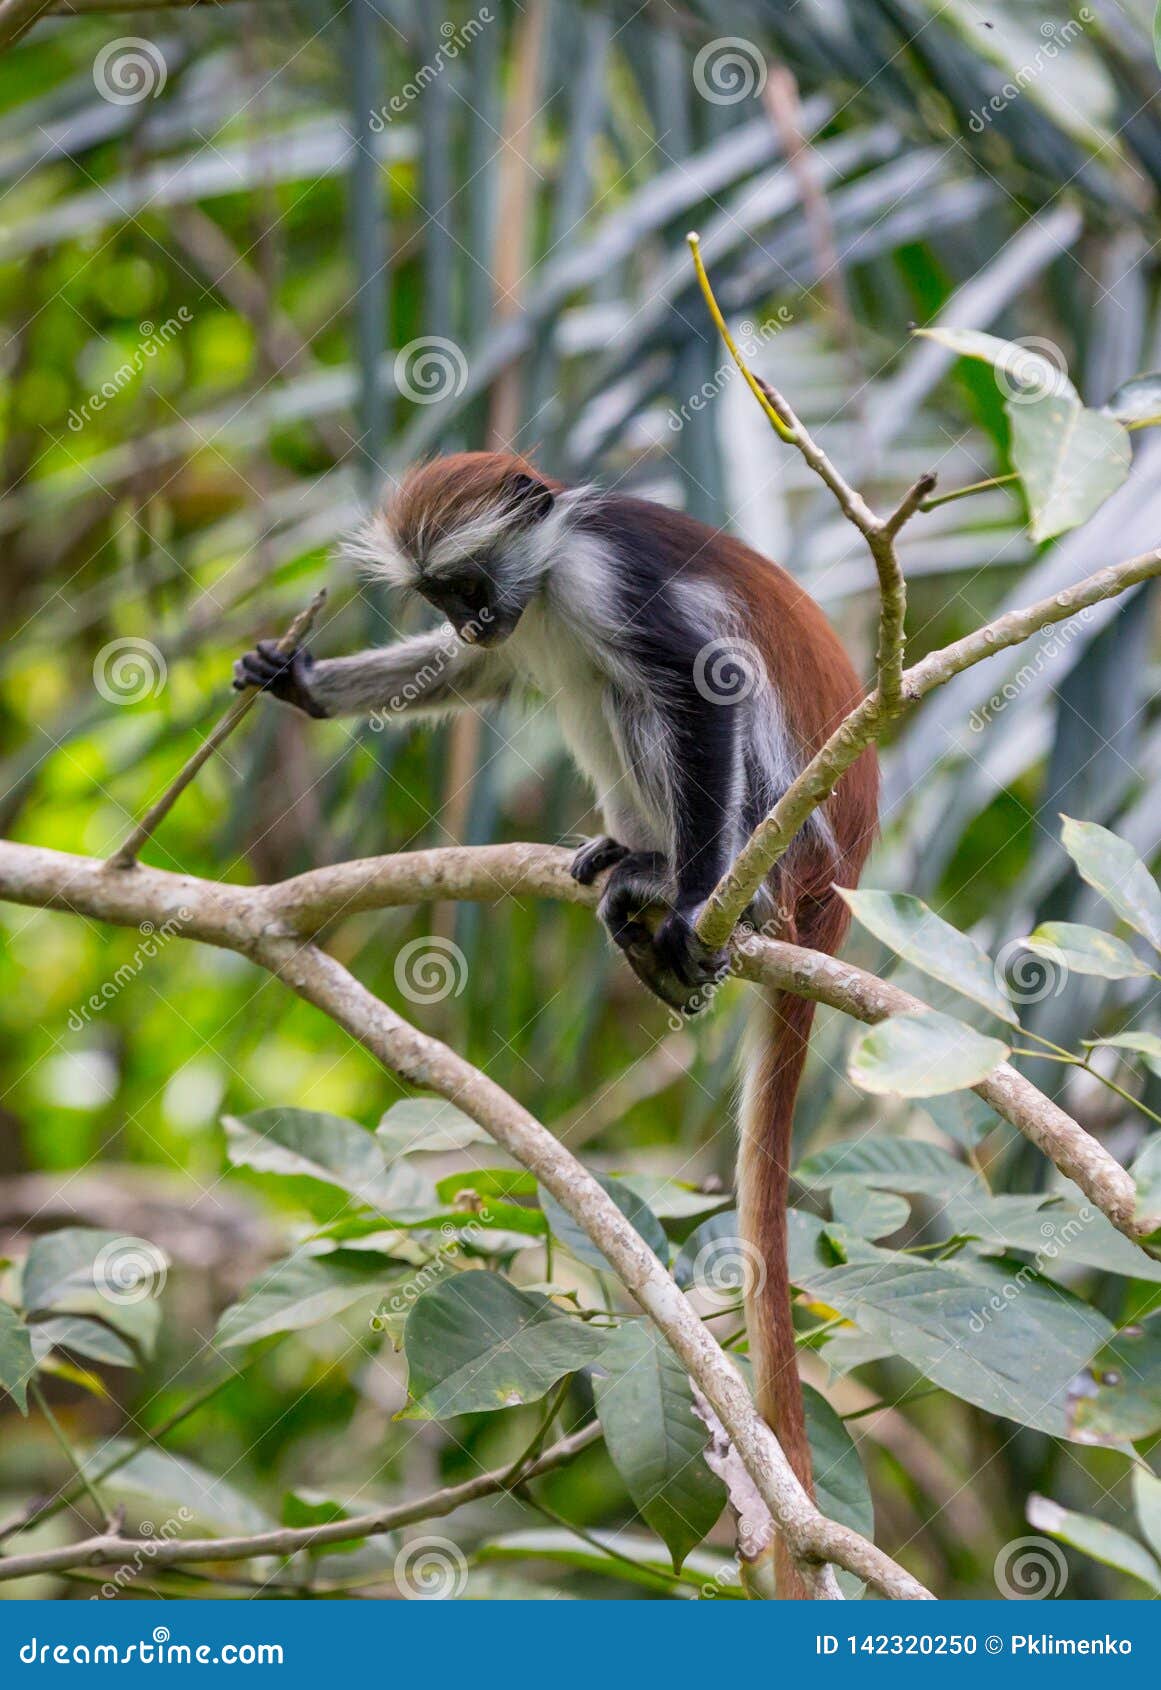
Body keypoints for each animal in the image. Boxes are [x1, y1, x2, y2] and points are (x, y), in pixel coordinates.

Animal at [235, 451, 878, 1596]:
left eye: (466, 580)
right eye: (441, 597)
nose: (475, 614)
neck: (548, 564)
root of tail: (830, 896)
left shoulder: (600, 578)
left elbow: (705, 683)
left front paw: (692, 897)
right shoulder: (524, 620)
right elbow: (473, 675)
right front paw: (301, 681)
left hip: (779, 823)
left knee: (650, 693)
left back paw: (686, 887)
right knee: (578, 686)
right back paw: (623, 864)